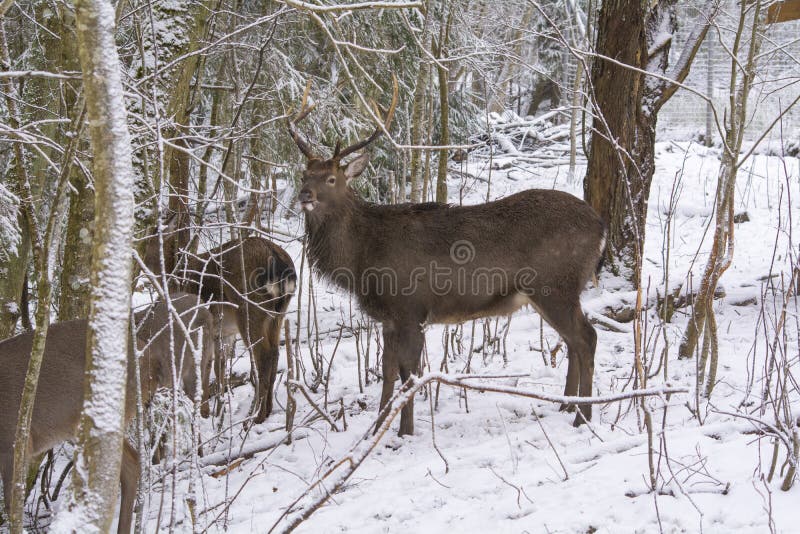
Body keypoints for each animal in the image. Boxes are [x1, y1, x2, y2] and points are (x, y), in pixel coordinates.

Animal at [143, 223, 296, 424]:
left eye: (148, 239)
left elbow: (202, 368)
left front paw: (203, 412)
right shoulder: (223, 332)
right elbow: (218, 367)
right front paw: (216, 412)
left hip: (250, 309)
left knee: (264, 355)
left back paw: (256, 417)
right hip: (277, 315)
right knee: (275, 352)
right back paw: (268, 410)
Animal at [288, 82, 606, 436]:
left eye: (331, 178)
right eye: (304, 174)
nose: (305, 195)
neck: (360, 261)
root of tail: (601, 226)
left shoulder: (411, 308)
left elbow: (409, 372)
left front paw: (404, 432)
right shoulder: (388, 318)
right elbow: (387, 371)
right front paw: (377, 427)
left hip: (555, 285)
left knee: (586, 338)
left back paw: (582, 416)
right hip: (553, 291)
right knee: (572, 342)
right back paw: (567, 406)